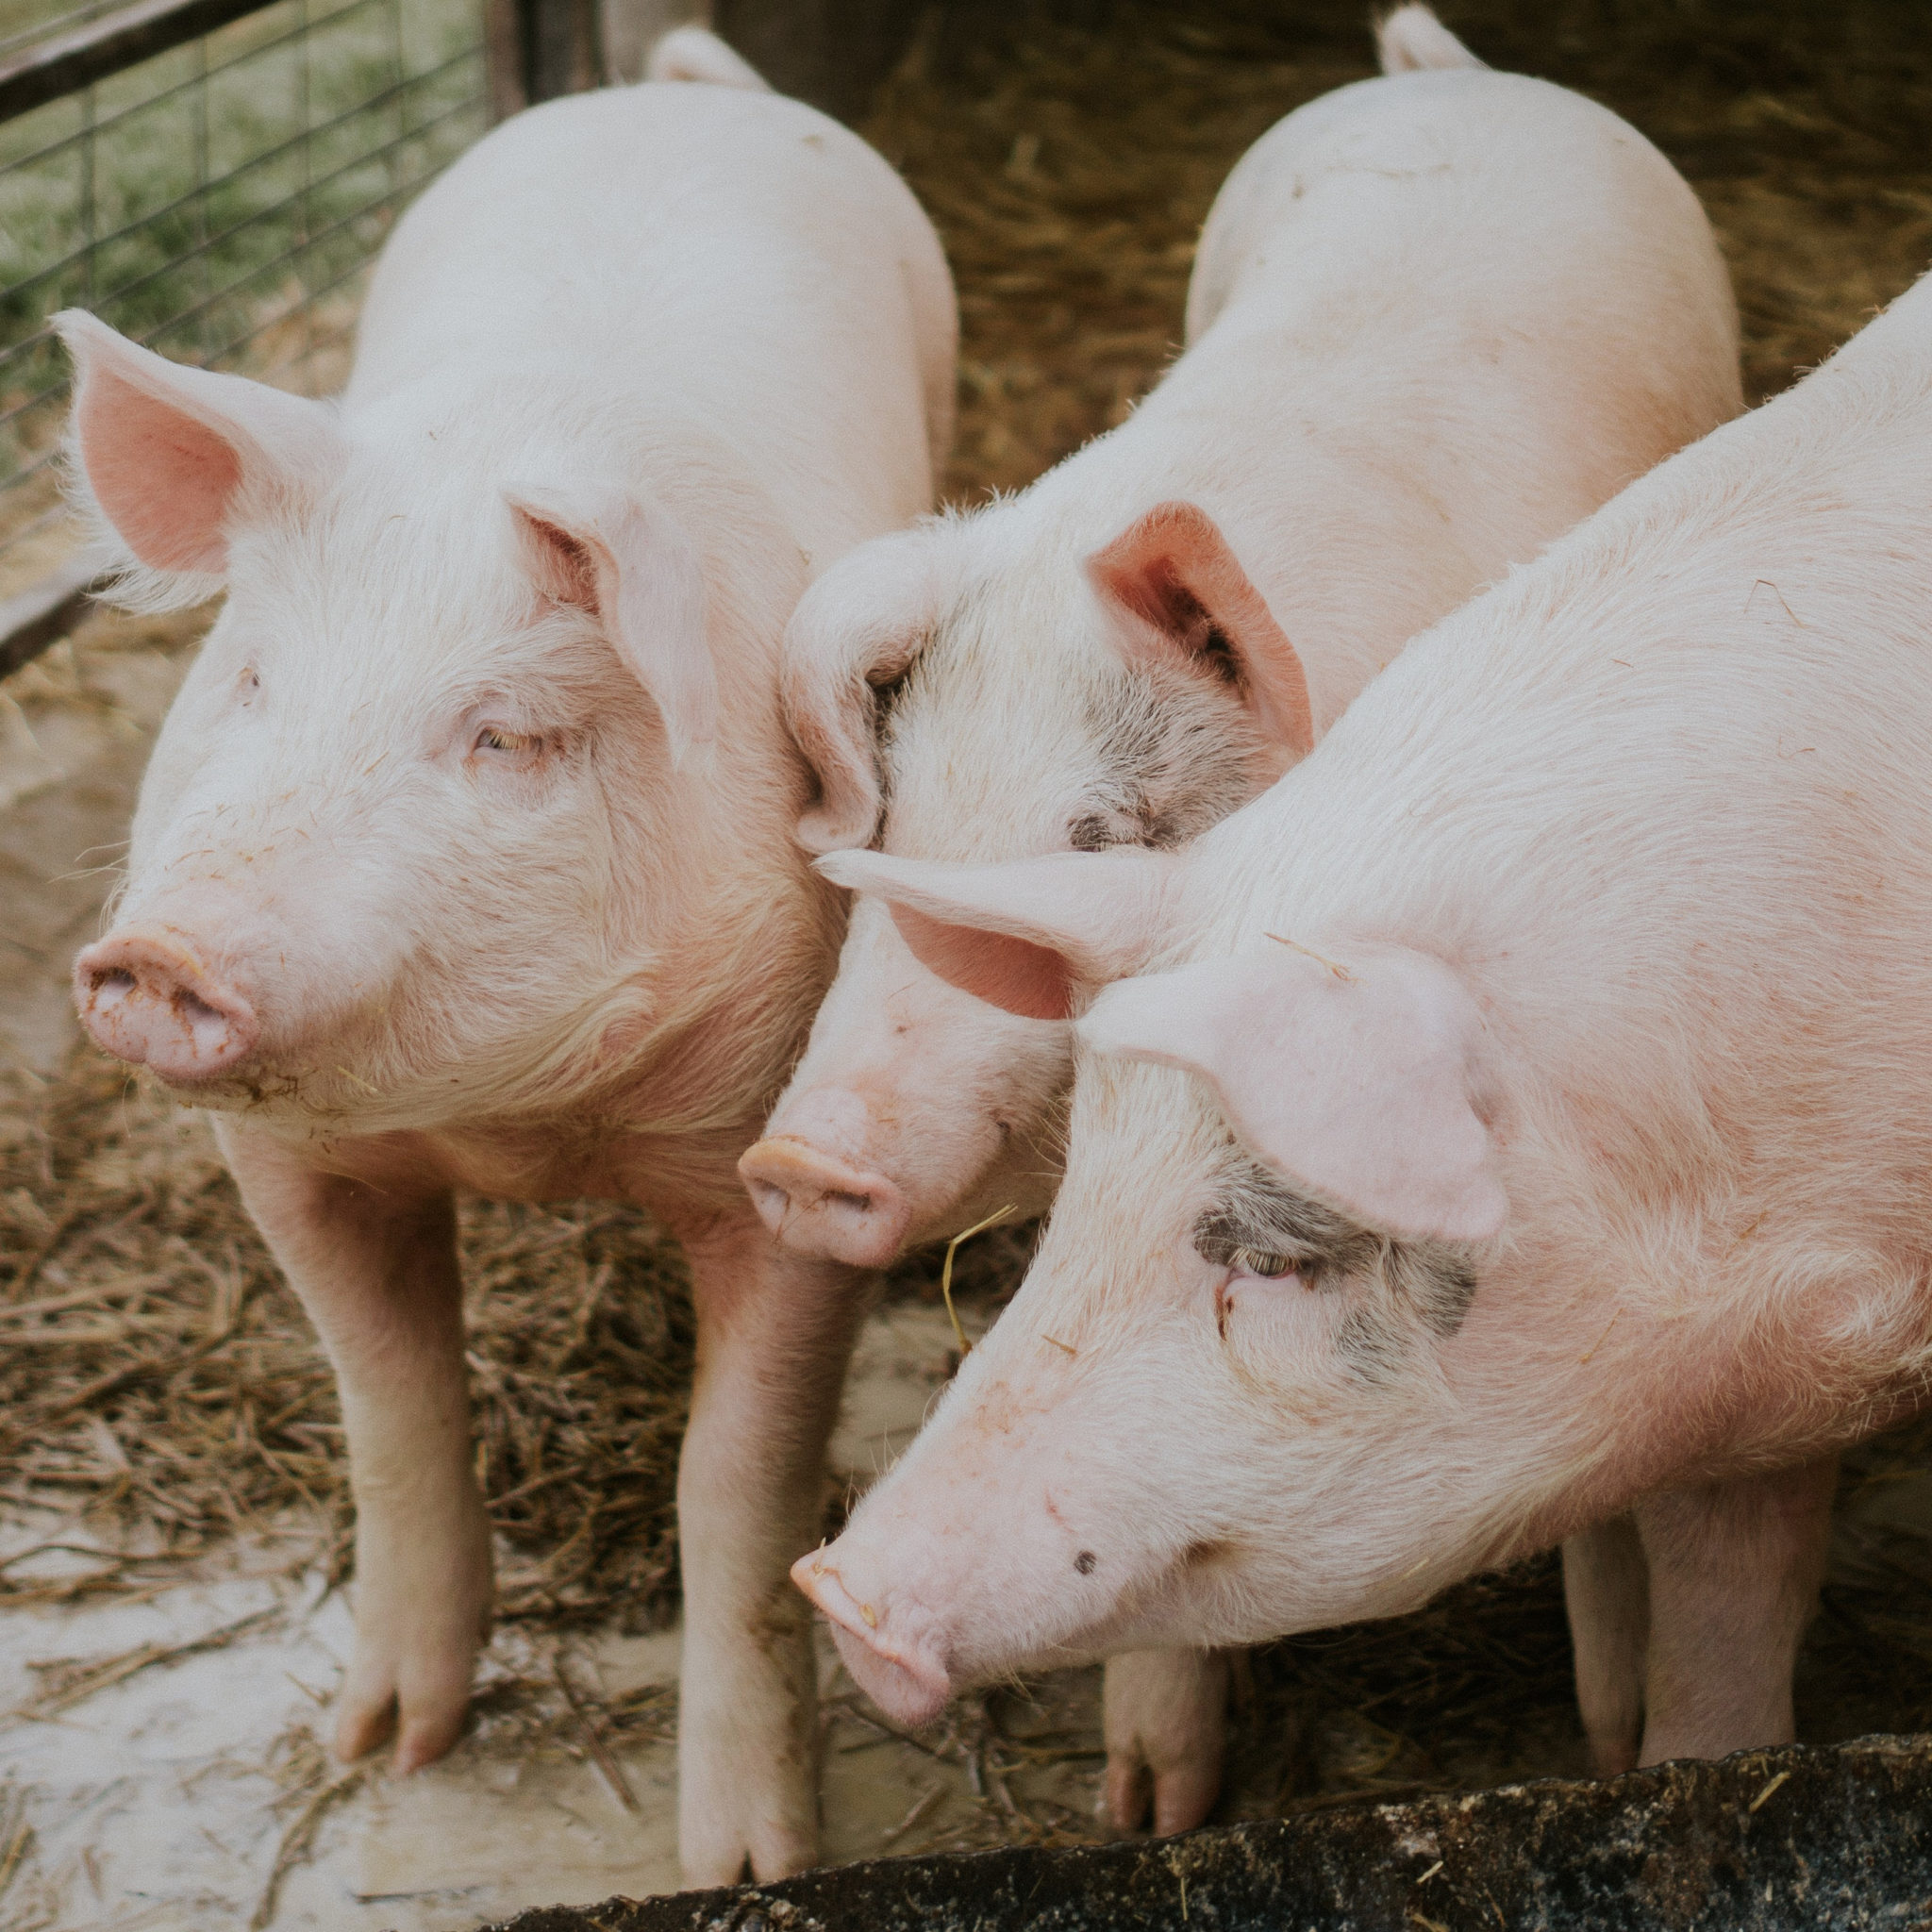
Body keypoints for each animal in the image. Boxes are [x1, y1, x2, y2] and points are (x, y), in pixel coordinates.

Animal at [61, 34, 955, 1884]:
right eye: (250, 678)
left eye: (510, 737)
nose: (165, 951)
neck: (521, 1130)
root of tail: (671, 83)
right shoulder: (283, 1163)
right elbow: (390, 1406)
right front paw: (384, 1748)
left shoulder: (789, 1147)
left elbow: (739, 1485)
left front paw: (747, 1867)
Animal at [742, 5, 1740, 1829]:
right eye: (899, 822)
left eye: (1104, 831)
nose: (792, 1162)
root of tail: (1444, 71)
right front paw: (1148, 1811)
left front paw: (1615, 1739)